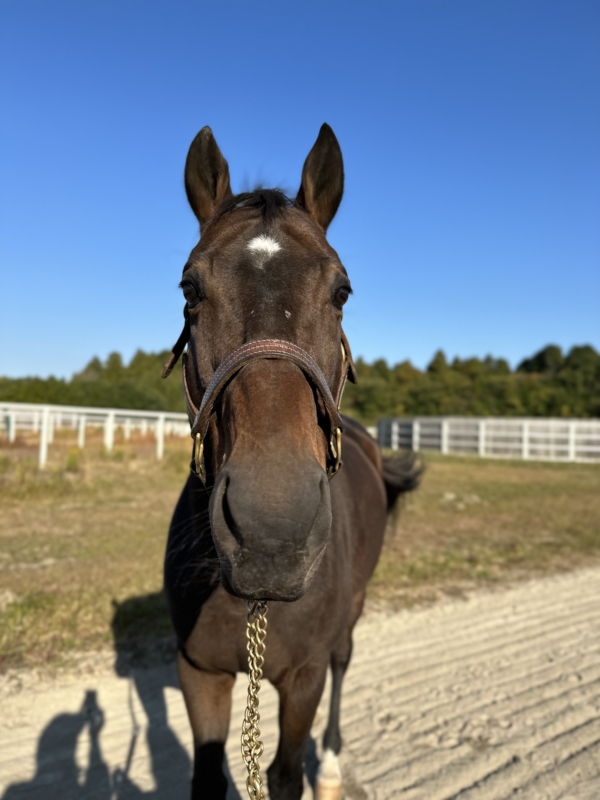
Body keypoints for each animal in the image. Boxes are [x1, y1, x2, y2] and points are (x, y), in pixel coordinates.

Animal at [162, 123, 420, 800]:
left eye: (342, 291)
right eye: (190, 289)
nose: (271, 530)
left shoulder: (302, 678)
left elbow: (285, 773)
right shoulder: (199, 672)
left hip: (350, 616)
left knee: (344, 662)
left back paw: (332, 763)